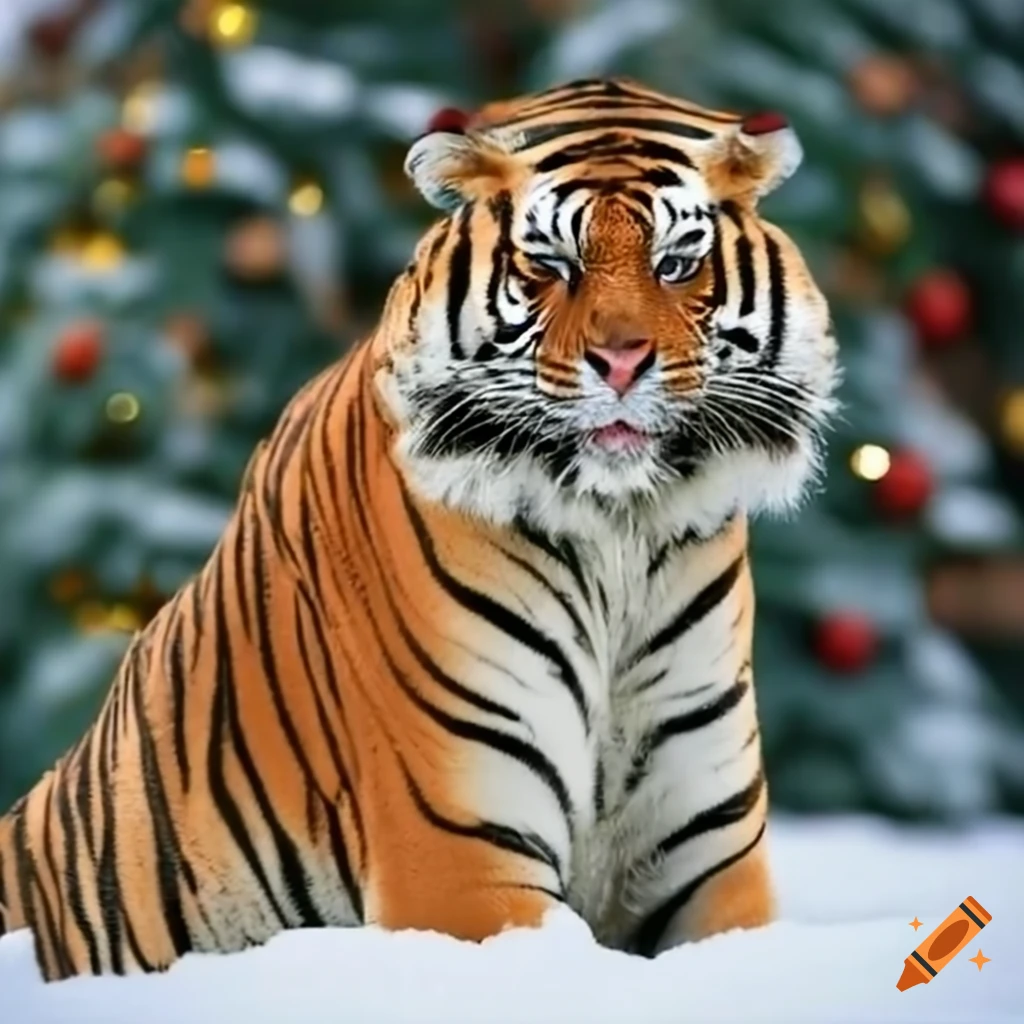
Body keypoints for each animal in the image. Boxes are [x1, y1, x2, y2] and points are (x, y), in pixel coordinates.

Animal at [0, 76, 837, 981]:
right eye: (551, 264)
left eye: (676, 263)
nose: (622, 362)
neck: (618, 530)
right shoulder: (462, 867)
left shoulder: (710, 863)